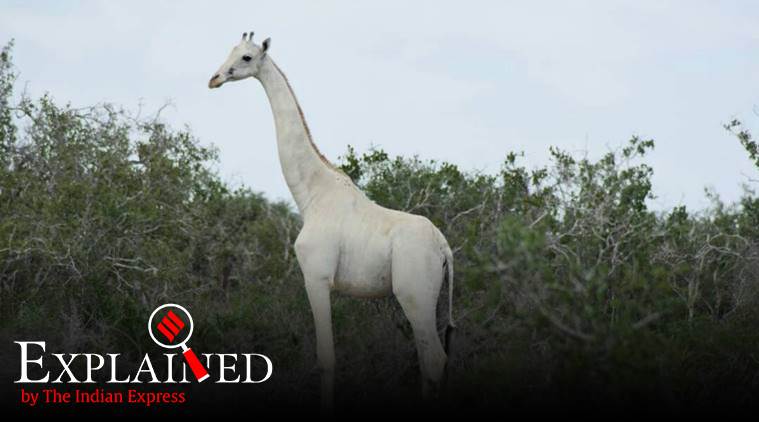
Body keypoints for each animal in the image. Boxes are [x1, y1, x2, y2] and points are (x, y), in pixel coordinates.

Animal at [208, 32, 455, 408]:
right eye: (230, 51)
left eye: (247, 57)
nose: (215, 79)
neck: (311, 194)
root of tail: (445, 249)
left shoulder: (317, 276)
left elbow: (326, 359)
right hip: (430, 297)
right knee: (433, 358)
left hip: (414, 295)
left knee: (434, 358)